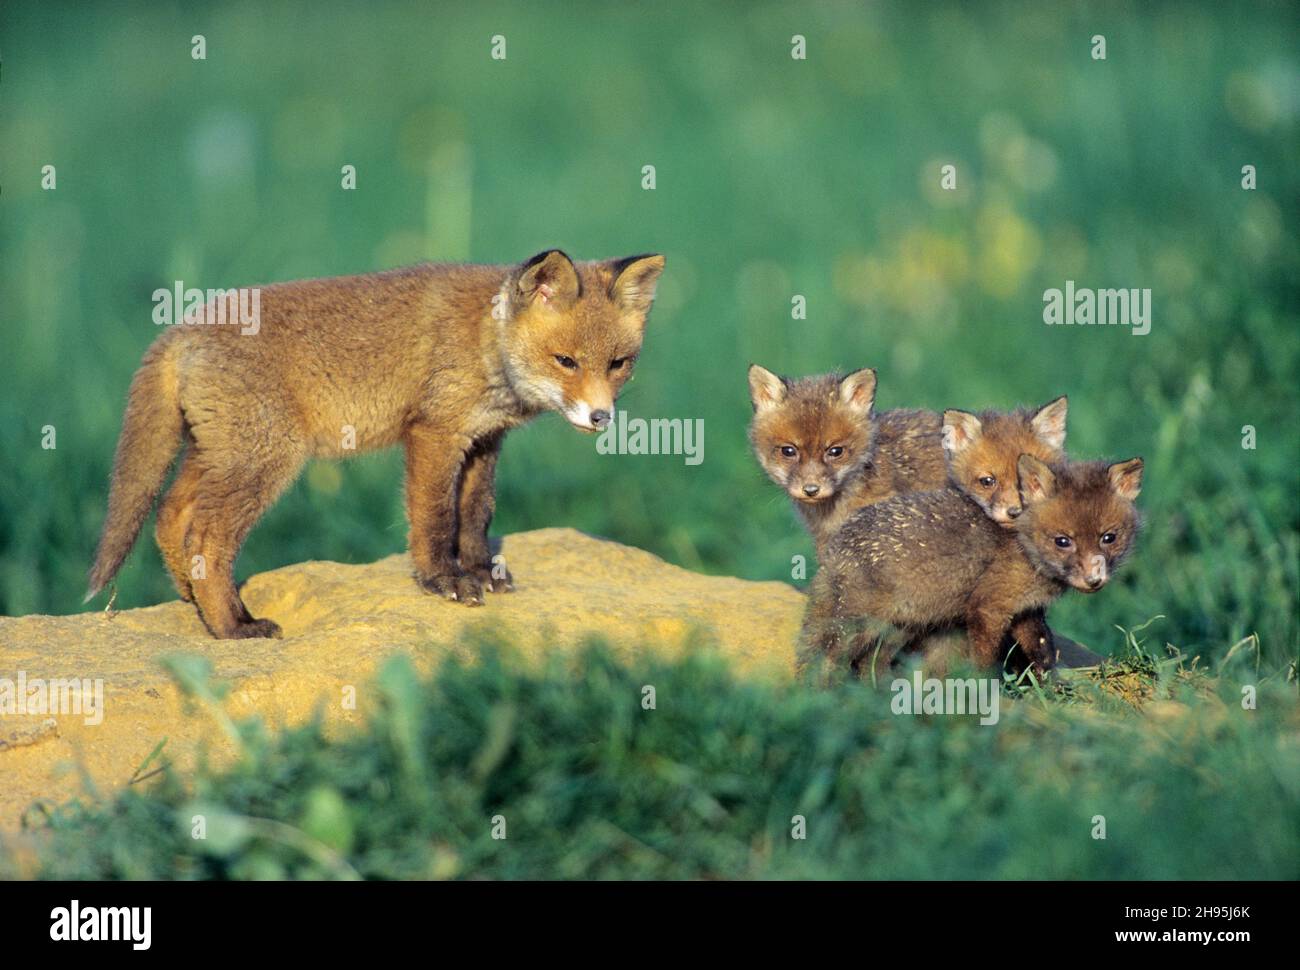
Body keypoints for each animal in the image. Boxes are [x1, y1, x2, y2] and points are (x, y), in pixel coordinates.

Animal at [86, 249, 666, 639]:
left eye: (618, 363)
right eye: (565, 361)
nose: (601, 417)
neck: (484, 339)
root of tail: (180, 329)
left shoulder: (484, 440)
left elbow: (475, 517)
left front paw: (481, 572)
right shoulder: (434, 433)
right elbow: (435, 520)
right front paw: (444, 581)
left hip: (219, 453)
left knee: (171, 516)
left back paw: (198, 604)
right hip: (264, 460)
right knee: (204, 536)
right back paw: (232, 626)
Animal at [800, 454, 1144, 680]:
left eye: (1109, 538)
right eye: (1063, 541)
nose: (1094, 580)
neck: (1024, 551)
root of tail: (835, 546)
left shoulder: (1024, 611)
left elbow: (1043, 649)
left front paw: (1049, 685)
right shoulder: (987, 608)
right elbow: (985, 659)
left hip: (902, 627)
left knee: (870, 662)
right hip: (858, 625)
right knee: (828, 658)